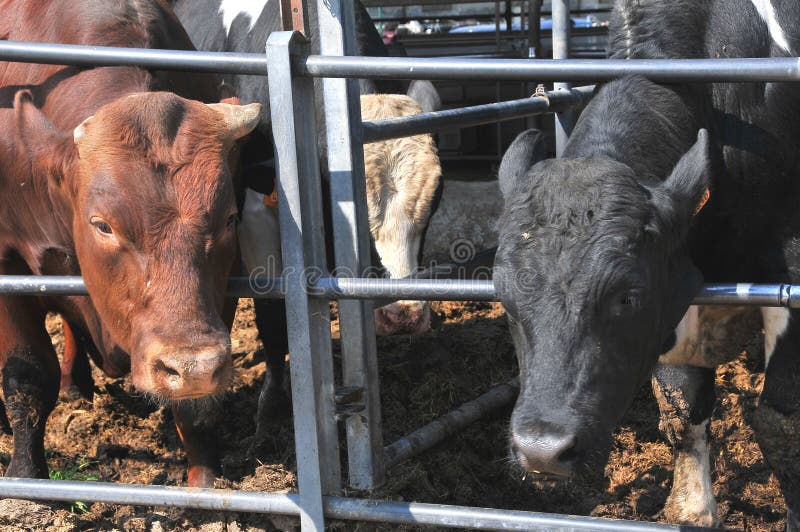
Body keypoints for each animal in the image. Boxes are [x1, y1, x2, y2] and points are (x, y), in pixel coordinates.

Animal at [0, 0, 260, 488]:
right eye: (102, 225)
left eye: (230, 218)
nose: (193, 365)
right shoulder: (7, 262)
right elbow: (27, 376)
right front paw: (27, 478)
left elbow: (196, 406)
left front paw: (204, 483)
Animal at [493, 0, 800, 528]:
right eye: (505, 298)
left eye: (626, 296)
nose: (541, 450)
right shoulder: (679, 290)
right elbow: (681, 405)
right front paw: (691, 508)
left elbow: (781, 423)